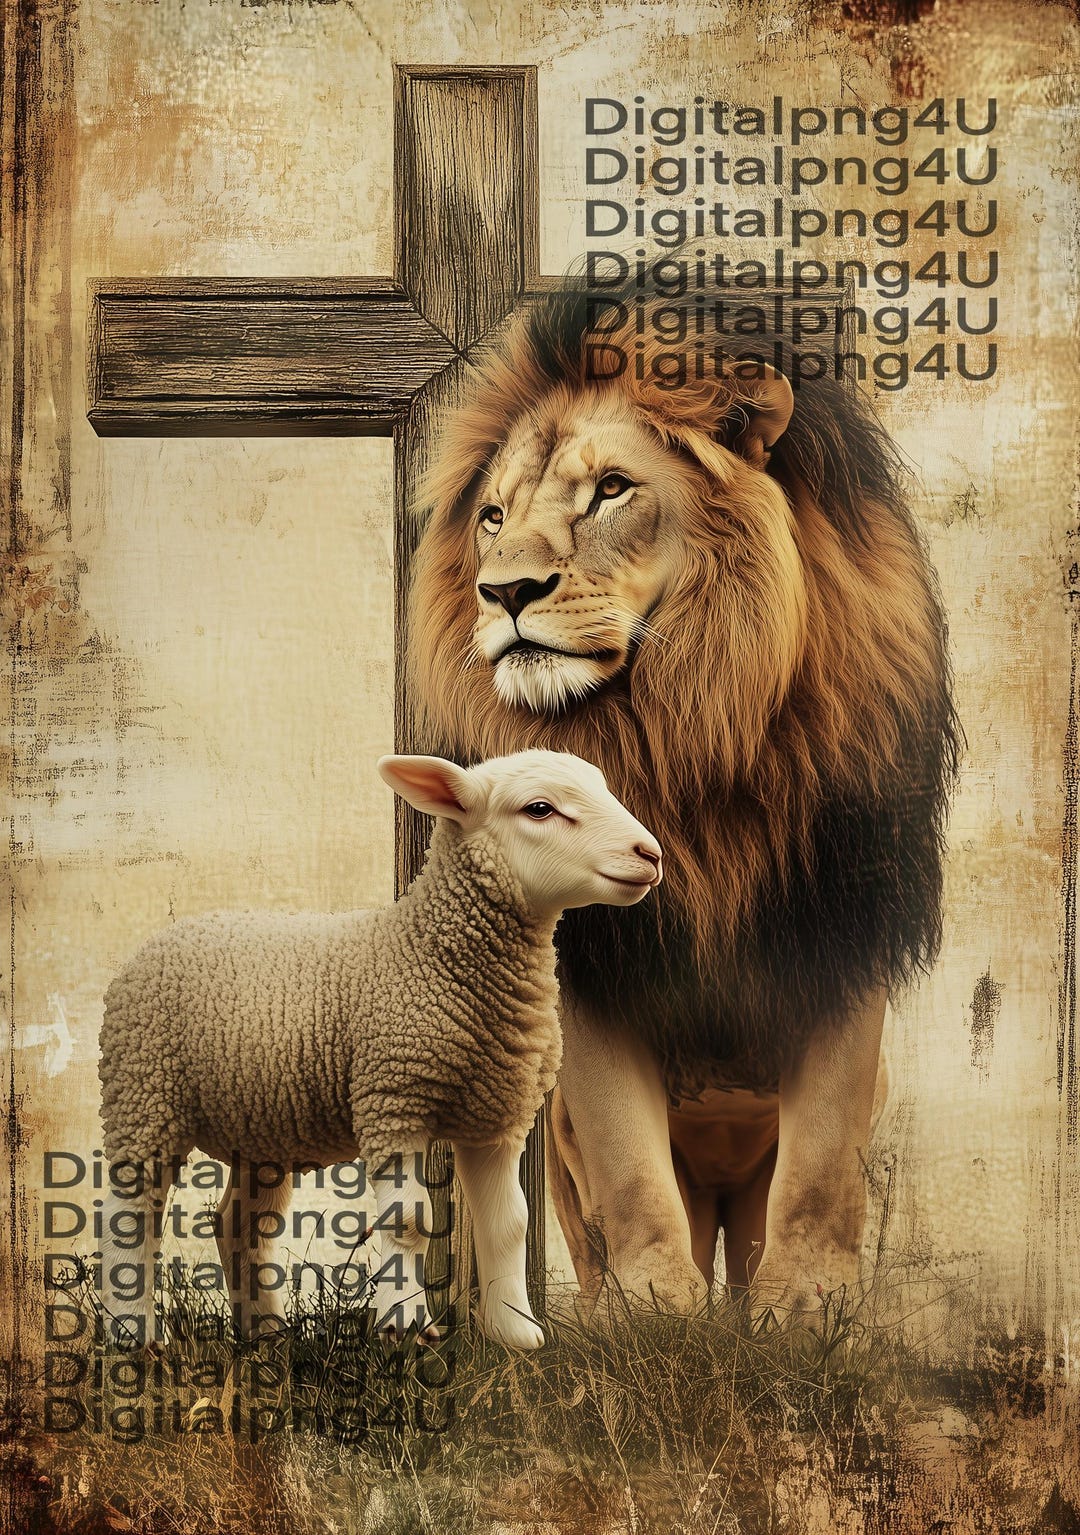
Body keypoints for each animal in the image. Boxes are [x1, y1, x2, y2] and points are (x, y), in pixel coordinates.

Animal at [97, 749, 662, 1352]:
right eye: (539, 809)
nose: (650, 854)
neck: (429, 952)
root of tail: (160, 938)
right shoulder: (394, 1097)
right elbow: (407, 1221)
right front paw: (407, 1324)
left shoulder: (498, 1116)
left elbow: (509, 1224)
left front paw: (517, 1333)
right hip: (143, 1094)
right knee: (129, 1214)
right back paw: (134, 1334)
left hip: (258, 1127)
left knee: (239, 1224)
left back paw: (267, 1334)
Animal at [407, 284, 959, 1323]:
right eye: (493, 515)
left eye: (612, 489)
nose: (503, 591)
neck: (682, 726)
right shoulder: (593, 965)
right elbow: (630, 1166)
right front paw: (654, 1315)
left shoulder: (843, 919)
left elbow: (821, 1167)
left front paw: (804, 1316)